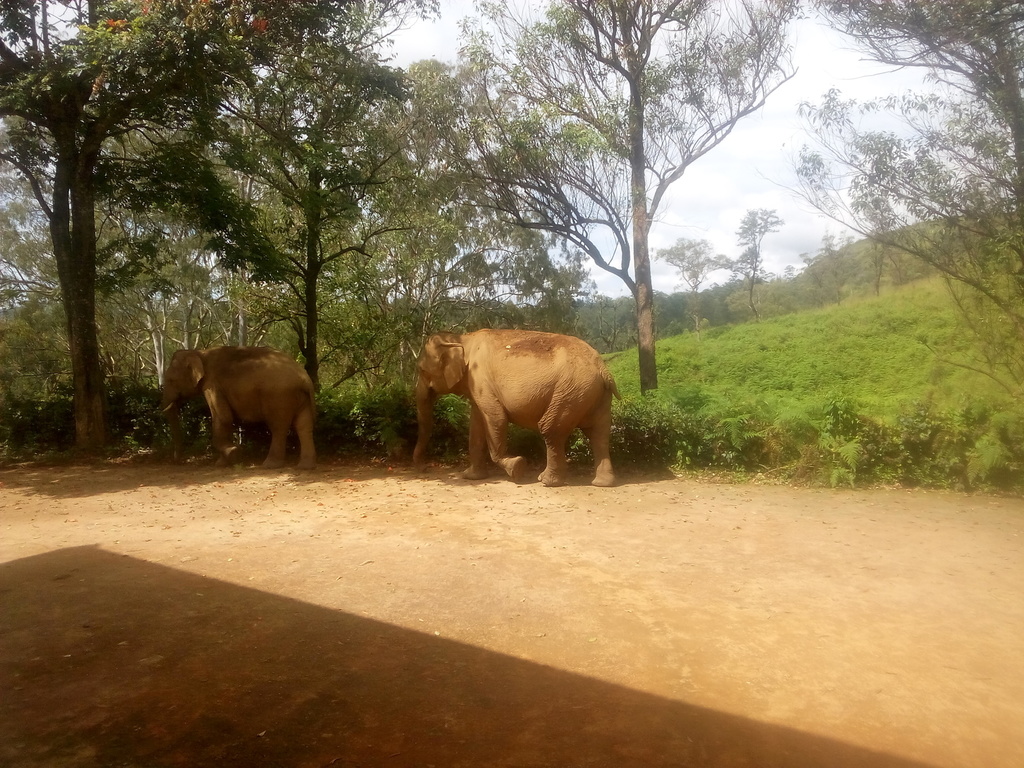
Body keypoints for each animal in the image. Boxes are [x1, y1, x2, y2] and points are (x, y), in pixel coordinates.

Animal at [160, 346, 316, 470]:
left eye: (171, 380)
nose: (178, 462)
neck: (199, 352)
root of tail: (305, 379)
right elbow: (225, 419)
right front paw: (223, 462)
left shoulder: (212, 385)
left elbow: (223, 417)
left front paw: (233, 454)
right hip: (301, 399)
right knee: (304, 427)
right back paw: (305, 467)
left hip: (279, 397)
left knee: (279, 428)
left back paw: (269, 465)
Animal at [412, 329, 619, 487]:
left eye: (421, 370)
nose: (424, 469)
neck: (462, 338)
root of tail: (603, 369)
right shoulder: (476, 385)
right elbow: (476, 426)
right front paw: (471, 476)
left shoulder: (481, 379)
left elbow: (496, 419)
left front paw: (517, 468)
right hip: (593, 395)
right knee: (599, 434)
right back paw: (602, 483)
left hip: (570, 391)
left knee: (550, 430)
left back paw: (546, 481)